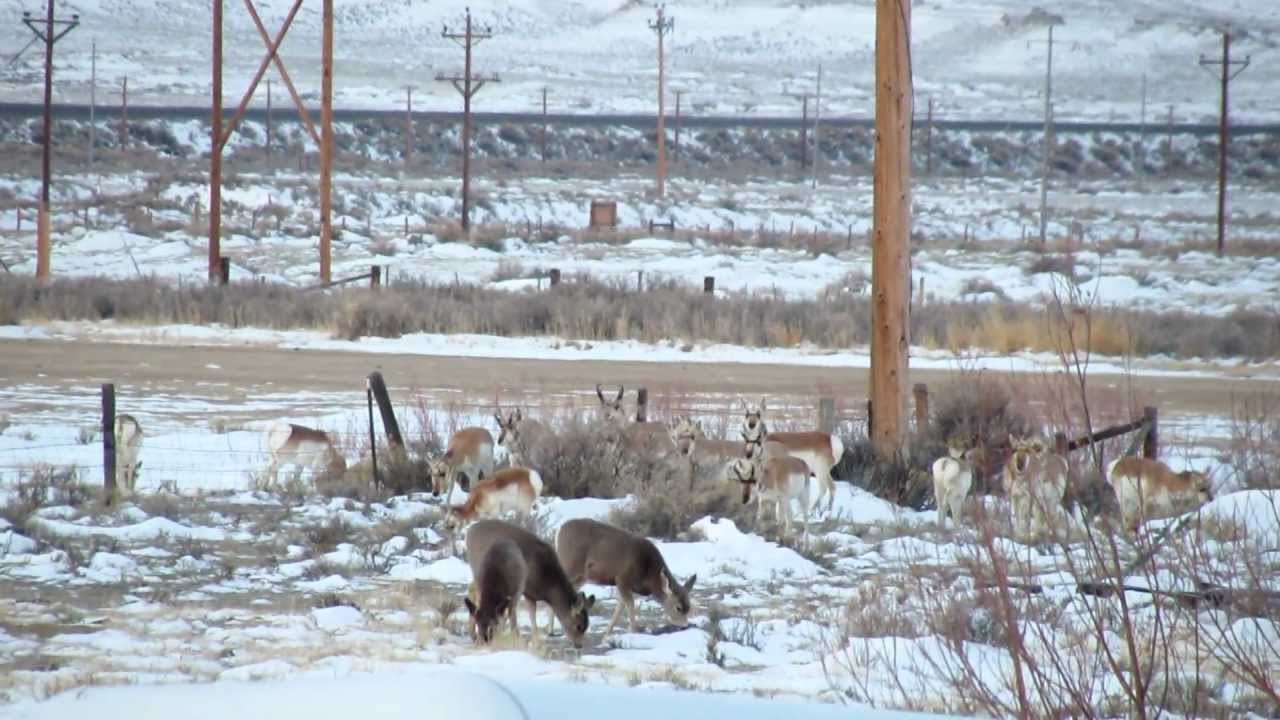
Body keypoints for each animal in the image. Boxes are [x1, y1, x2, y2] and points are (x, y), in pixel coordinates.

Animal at [464, 519, 595, 649]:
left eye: (587, 626)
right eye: (579, 626)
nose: (579, 645)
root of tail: (469, 531)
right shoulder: (528, 592)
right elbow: (531, 616)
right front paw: (535, 642)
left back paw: (473, 634)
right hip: (477, 567)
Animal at [555, 519, 696, 635]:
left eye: (689, 606)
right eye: (678, 608)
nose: (684, 626)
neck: (649, 573)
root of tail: (560, 530)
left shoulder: (625, 586)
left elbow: (620, 607)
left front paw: (606, 635)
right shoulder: (622, 578)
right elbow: (630, 605)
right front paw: (634, 631)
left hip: (581, 576)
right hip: (570, 566)